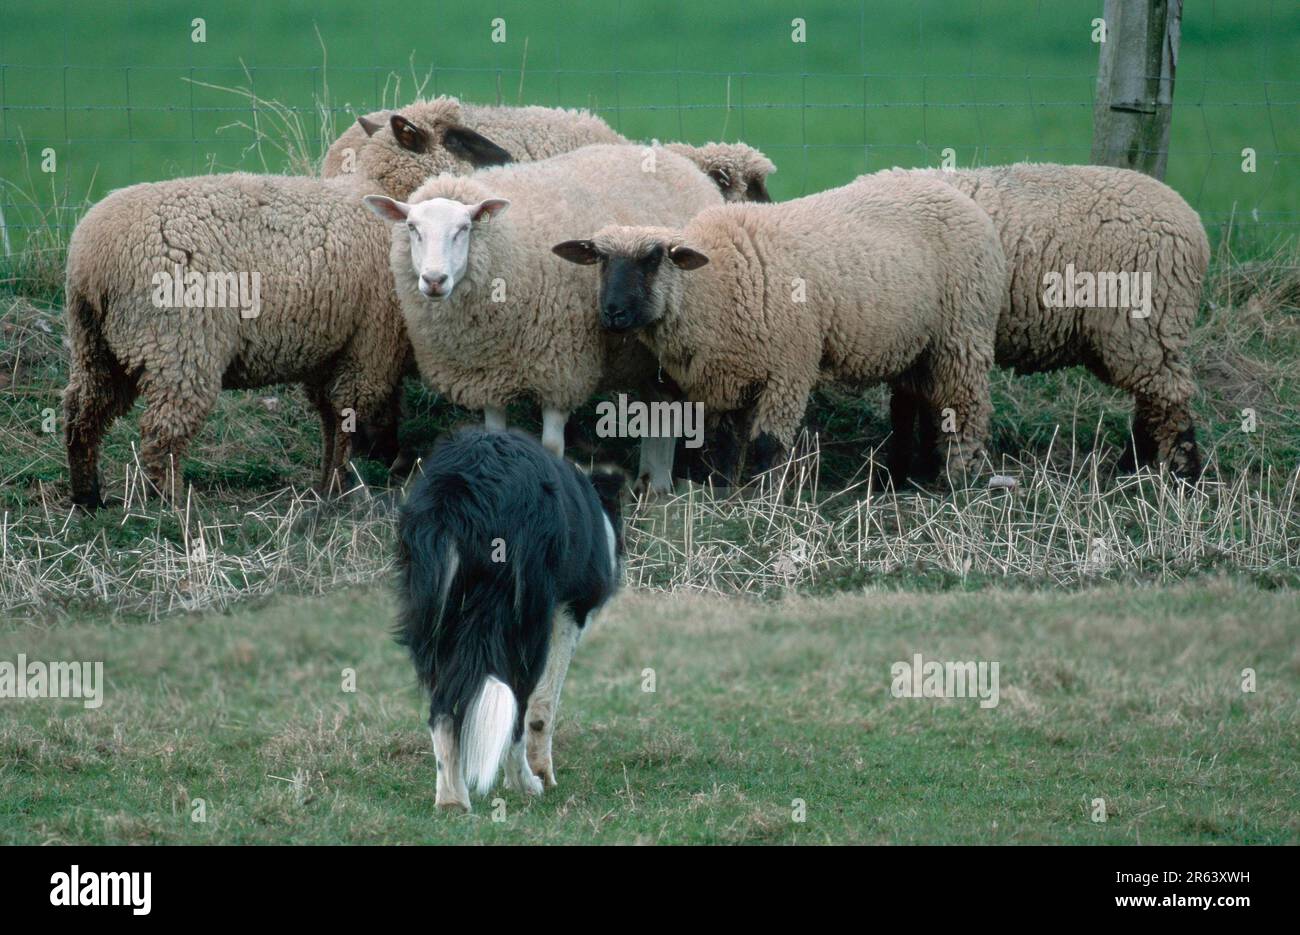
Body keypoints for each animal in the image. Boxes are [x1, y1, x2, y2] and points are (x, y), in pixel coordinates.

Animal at [62, 98, 526, 508]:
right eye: (459, 138)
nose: (507, 159)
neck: (386, 197)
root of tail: (91, 260)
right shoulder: (370, 340)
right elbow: (346, 414)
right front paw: (338, 489)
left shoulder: (331, 344)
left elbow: (329, 417)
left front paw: (324, 487)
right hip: (179, 346)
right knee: (163, 433)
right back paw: (170, 508)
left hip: (96, 347)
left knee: (82, 414)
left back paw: (88, 498)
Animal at [363, 143, 725, 492]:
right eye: (413, 228)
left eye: (464, 228)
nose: (434, 280)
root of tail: (678, 160)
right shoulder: (488, 376)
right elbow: (496, 435)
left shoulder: (561, 370)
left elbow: (552, 447)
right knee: (656, 407)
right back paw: (649, 484)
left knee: (667, 408)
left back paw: (659, 484)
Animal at [552, 172, 1008, 480]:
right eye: (600, 258)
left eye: (653, 258)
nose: (612, 313)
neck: (714, 282)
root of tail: (957, 196)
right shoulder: (724, 375)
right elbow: (724, 443)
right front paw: (724, 491)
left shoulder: (789, 369)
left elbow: (767, 445)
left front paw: (762, 502)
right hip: (918, 341)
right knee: (918, 403)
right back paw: (907, 477)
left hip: (963, 331)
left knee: (966, 406)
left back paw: (958, 480)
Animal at [899, 163, 1209, 478]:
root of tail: (1194, 225)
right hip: (1134, 335)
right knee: (1151, 400)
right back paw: (1131, 466)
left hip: (1145, 325)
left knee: (1169, 400)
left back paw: (1182, 472)